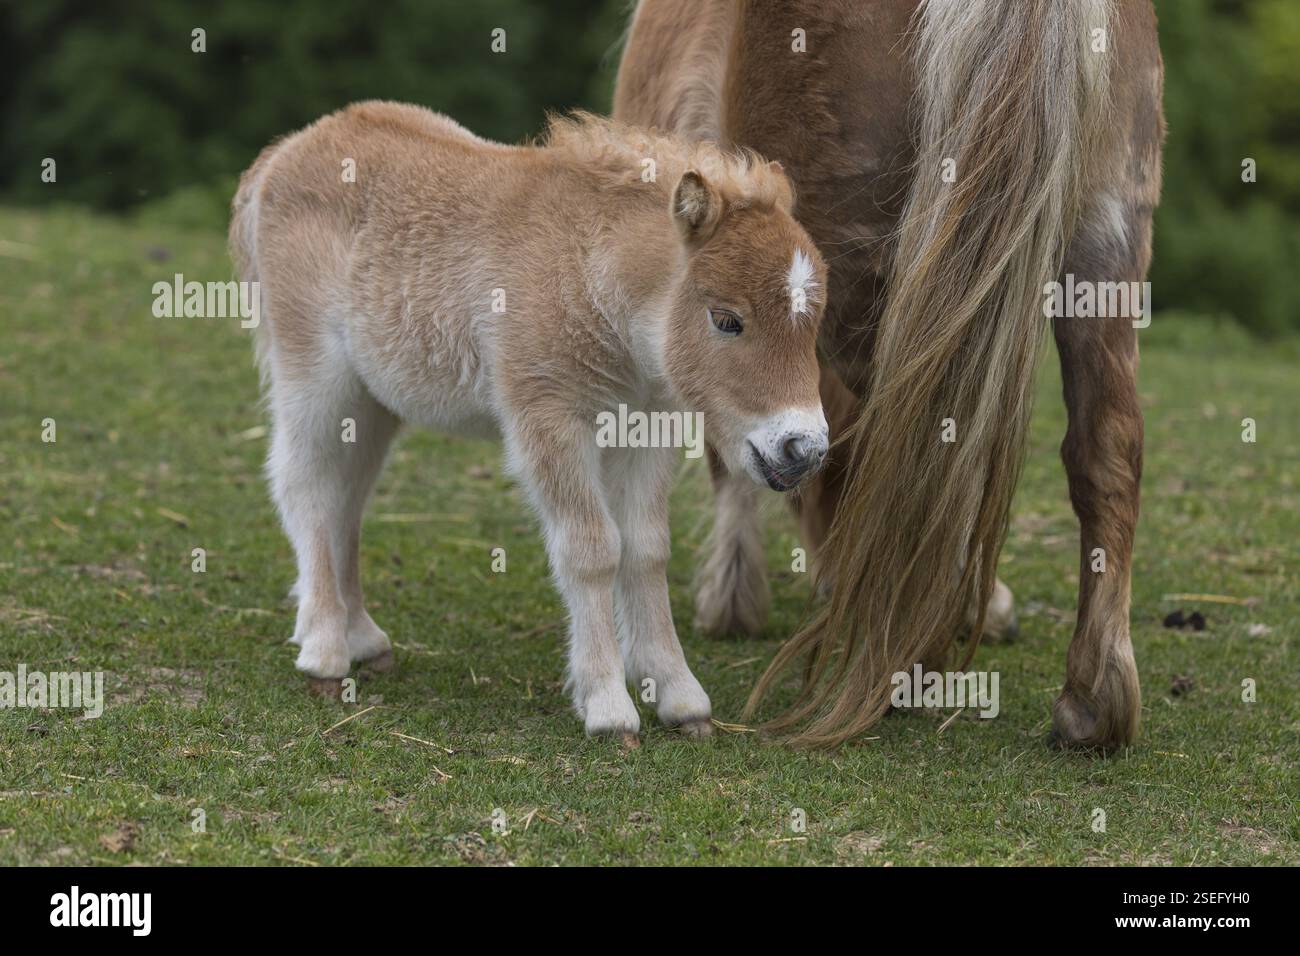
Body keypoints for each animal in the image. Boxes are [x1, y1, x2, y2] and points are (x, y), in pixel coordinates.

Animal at [229, 101, 830, 742]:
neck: (591, 274)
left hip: (375, 399)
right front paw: (608, 707)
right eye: (726, 320)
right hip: (315, 372)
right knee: (308, 484)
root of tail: (284, 153)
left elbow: (647, 549)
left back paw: (362, 637)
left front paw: (679, 697)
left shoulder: (647, 424)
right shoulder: (549, 416)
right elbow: (592, 548)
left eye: (816, 321)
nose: (803, 448)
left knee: (349, 497)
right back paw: (323, 649)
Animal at [615, 0, 1165, 748]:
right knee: (1104, 443)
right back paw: (1092, 702)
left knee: (917, 456)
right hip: (1107, 235)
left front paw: (731, 595)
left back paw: (911, 653)